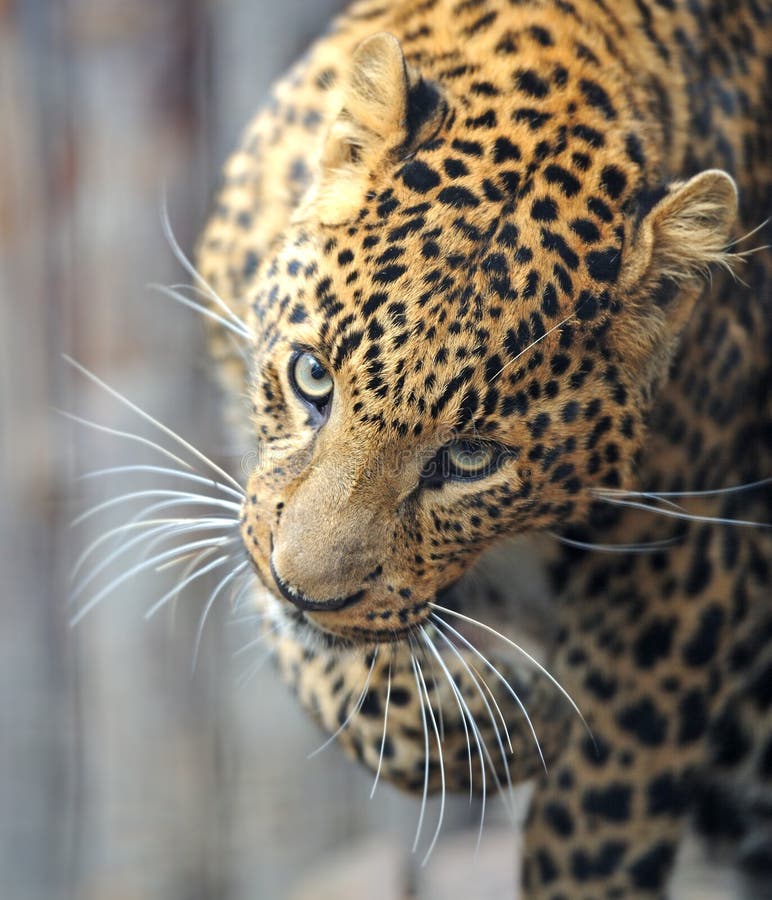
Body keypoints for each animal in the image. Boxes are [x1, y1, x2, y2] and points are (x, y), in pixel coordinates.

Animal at [194, 0, 772, 896]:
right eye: (312, 377)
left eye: (469, 460)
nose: (304, 592)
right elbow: (362, 696)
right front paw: (513, 722)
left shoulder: (683, 572)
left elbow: (598, 822)